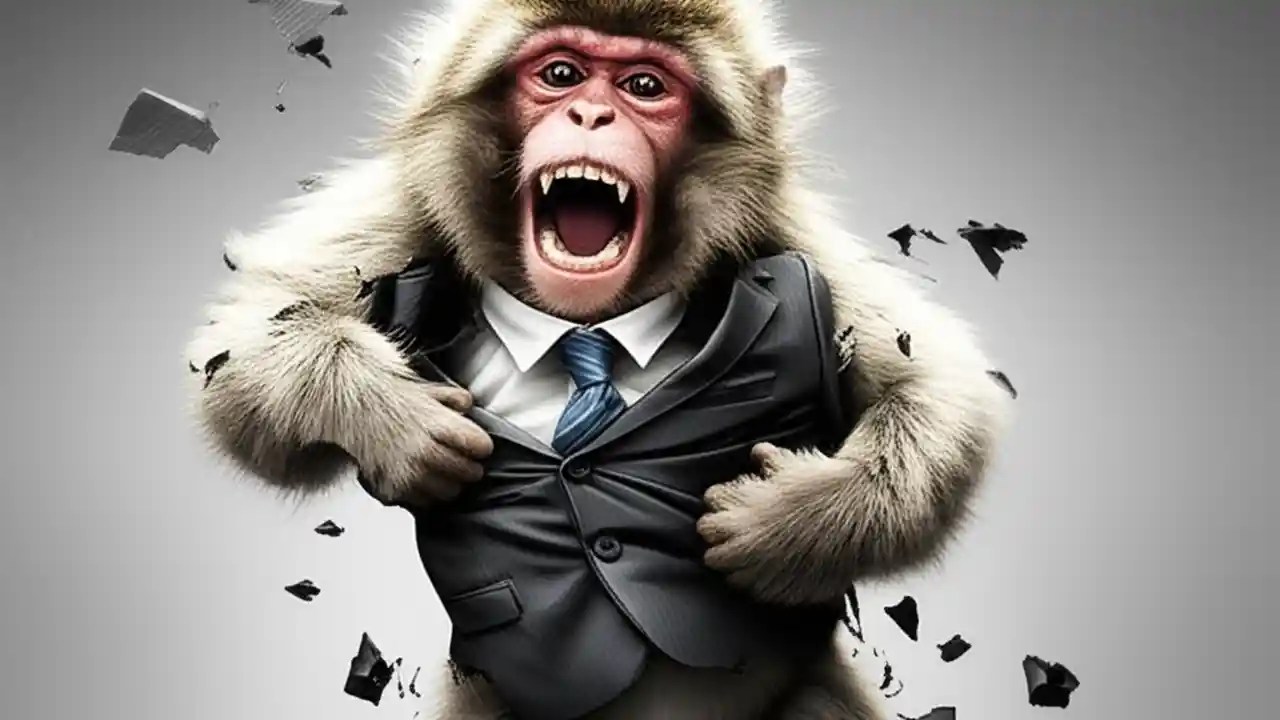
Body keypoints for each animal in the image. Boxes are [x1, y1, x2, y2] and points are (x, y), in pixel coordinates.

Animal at [185, 1, 1012, 718]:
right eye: (559, 75)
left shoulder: (789, 241)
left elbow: (938, 387)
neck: (588, 325)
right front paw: (400, 423)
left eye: (644, 87)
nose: (591, 115)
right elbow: (243, 349)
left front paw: (786, 522)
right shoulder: (405, 210)